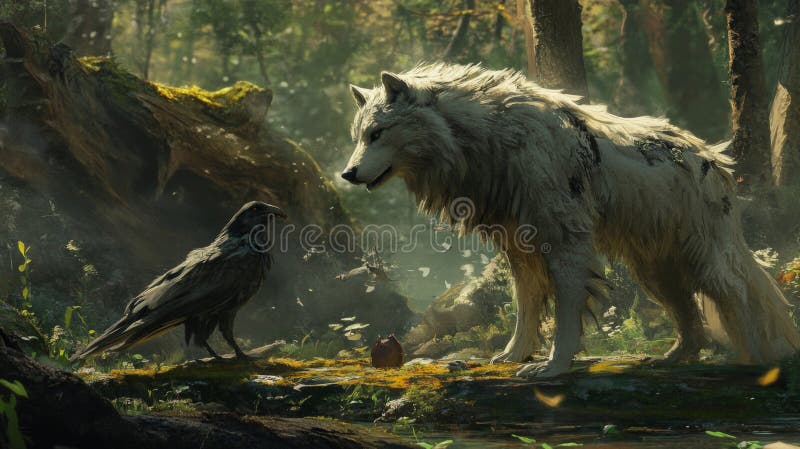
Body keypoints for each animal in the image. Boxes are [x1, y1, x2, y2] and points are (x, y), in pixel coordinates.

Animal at [341, 63, 800, 377]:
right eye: (358, 137)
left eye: (377, 133)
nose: (347, 173)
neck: (488, 140)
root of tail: (713, 157)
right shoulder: (518, 248)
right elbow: (526, 307)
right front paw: (513, 356)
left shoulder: (566, 241)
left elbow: (565, 310)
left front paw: (551, 367)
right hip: (654, 272)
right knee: (692, 319)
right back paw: (670, 359)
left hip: (701, 258)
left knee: (738, 291)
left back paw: (755, 360)